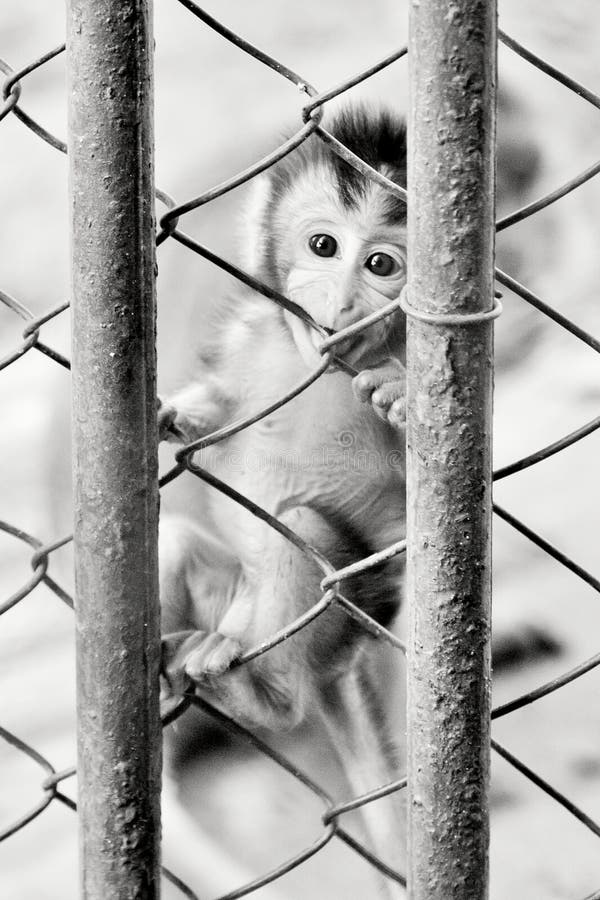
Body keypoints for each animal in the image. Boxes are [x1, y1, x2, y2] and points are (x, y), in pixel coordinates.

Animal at [158, 105, 409, 896]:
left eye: (382, 265)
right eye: (322, 246)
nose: (340, 303)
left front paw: (400, 393)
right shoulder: (253, 334)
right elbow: (220, 408)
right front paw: (177, 417)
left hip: (335, 625)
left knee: (303, 531)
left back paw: (264, 699)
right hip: (233, 607)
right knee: (175, 545)